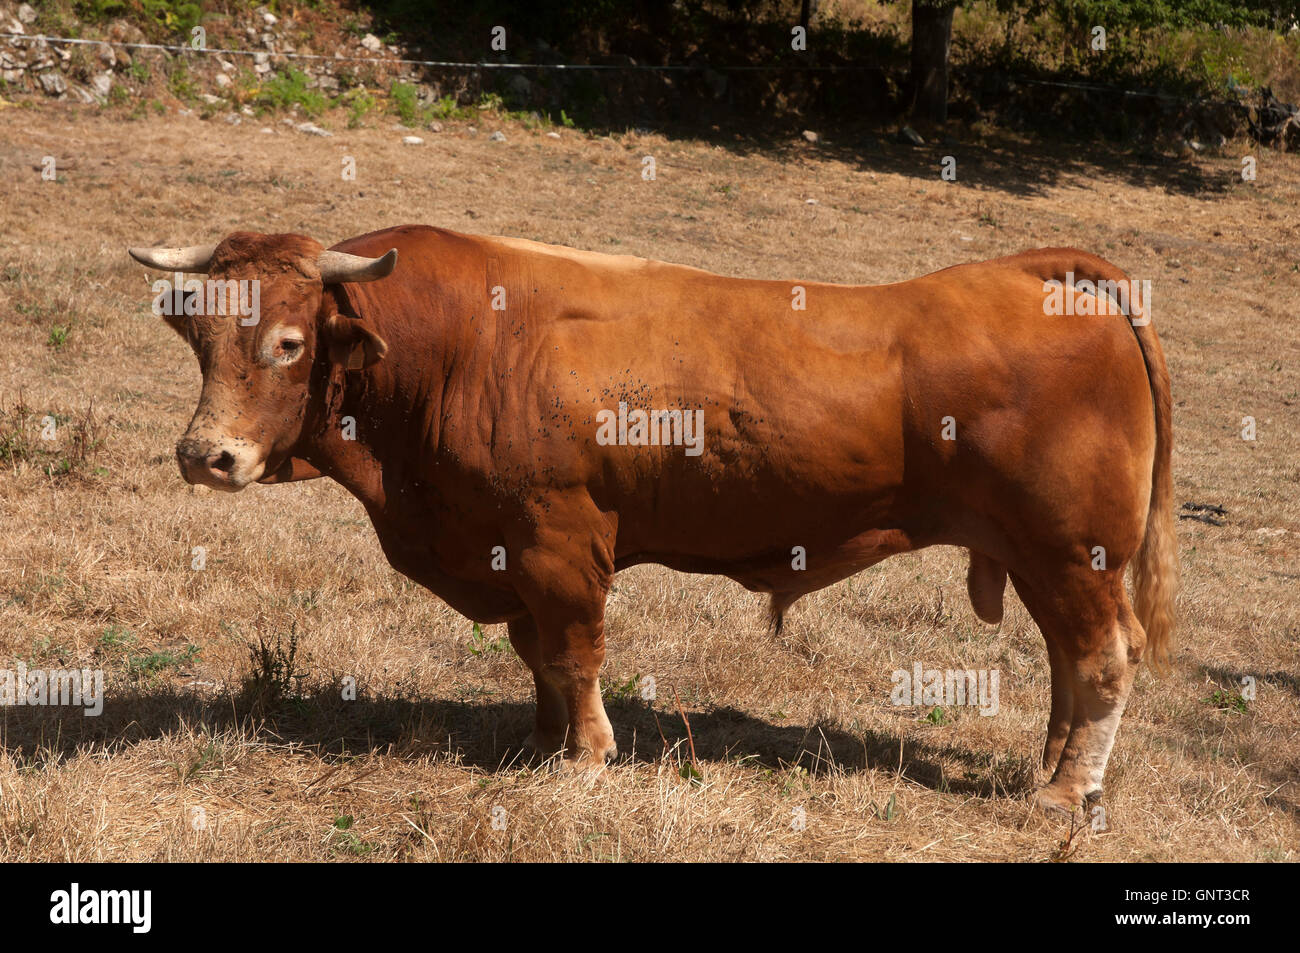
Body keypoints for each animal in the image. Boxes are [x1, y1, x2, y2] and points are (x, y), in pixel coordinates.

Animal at [128, 226, 1176, 814]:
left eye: (288, 341)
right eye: (198, 334)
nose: (205, 456)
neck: (461, 347)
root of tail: (1033, 271)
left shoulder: (559, 542)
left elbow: (575, 649)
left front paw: (588, 758)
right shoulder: (512, 552)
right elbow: (540, 657)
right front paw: (542, 744)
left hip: (1071, 551)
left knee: (1101, 659)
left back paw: (1065, 794)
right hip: (1043, 557)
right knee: (1068, 661)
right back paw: (1051, 771)